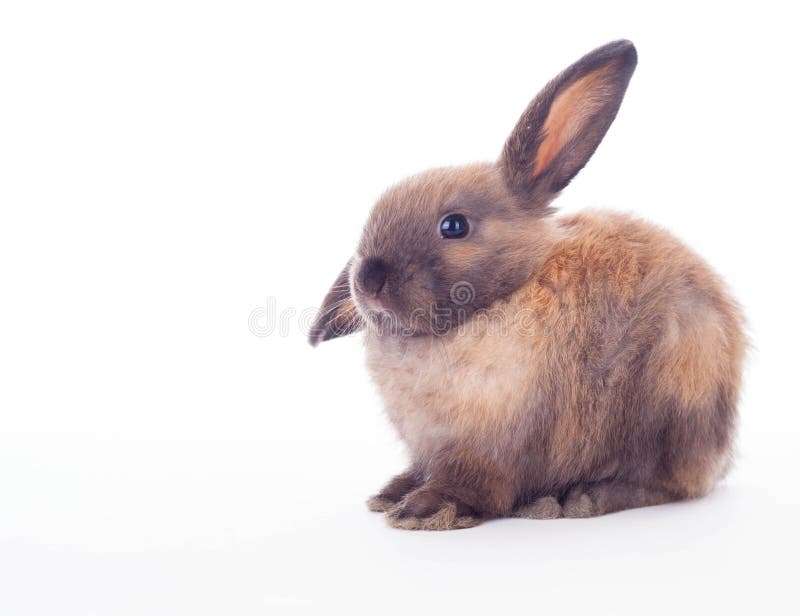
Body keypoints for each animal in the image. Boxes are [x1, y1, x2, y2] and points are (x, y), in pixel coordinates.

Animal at [308, 40, 746, 530]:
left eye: (454, 225)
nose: (367, 279)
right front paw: (391, 494)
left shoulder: (486, 454)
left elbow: (472, 486)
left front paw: (425, 509)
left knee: (665, 484)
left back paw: (579, 499)